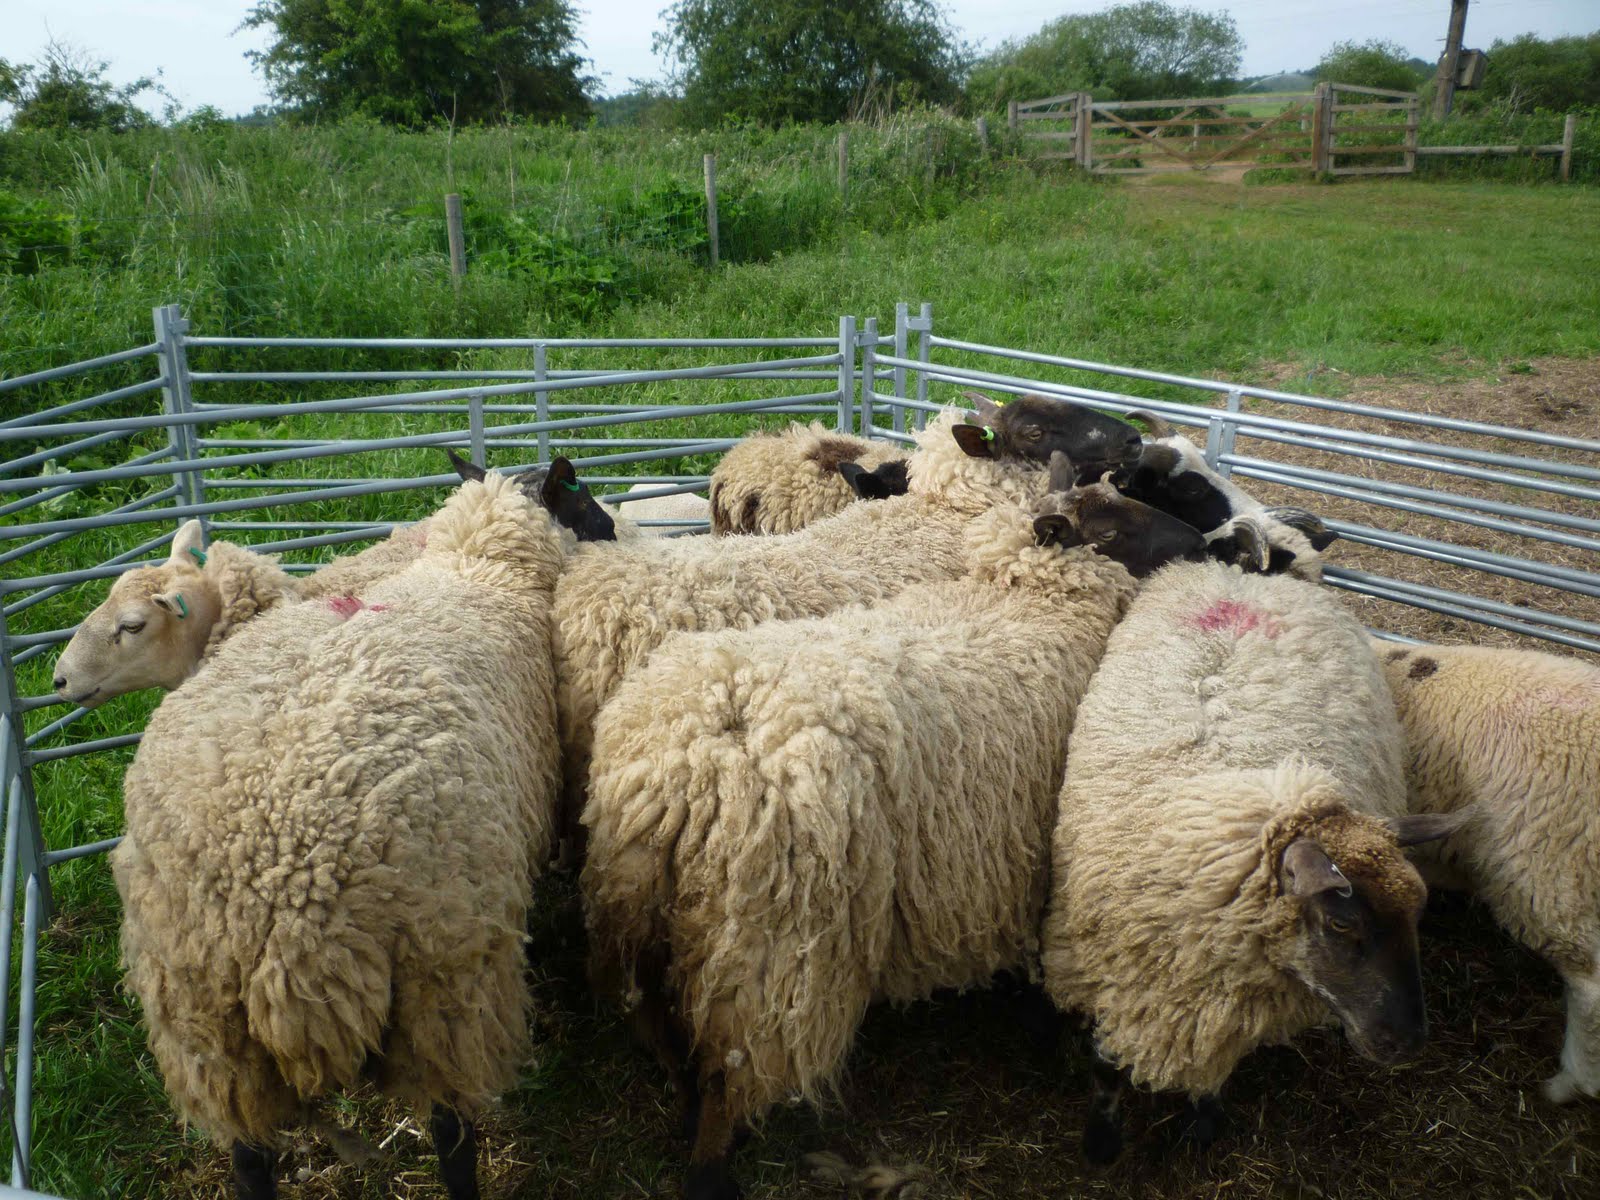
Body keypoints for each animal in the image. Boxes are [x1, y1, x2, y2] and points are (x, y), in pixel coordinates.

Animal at [113, 468, 567, 1200]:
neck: (473, 563)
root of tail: (277, 908)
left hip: (203, 1022)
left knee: (249, 1152)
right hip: (442, 981)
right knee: (451, 1129)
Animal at [581, 458, 1206, 1200]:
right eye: (1112, 527)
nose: (1201, 543)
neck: (1026, 599)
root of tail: (680, 774)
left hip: (641, 922)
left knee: (661, 1033)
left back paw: (680, 1112)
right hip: (769, 953)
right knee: (728, 1075)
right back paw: (714, 1167)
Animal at [1039, 560, 1460, 1162]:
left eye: (1417, 913)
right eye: (1341, 922)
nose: (1409, 1043)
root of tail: (1243, 575)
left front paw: (1204, 1121)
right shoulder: (1107, 973)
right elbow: (1105, 1068)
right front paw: (1101, 1141)